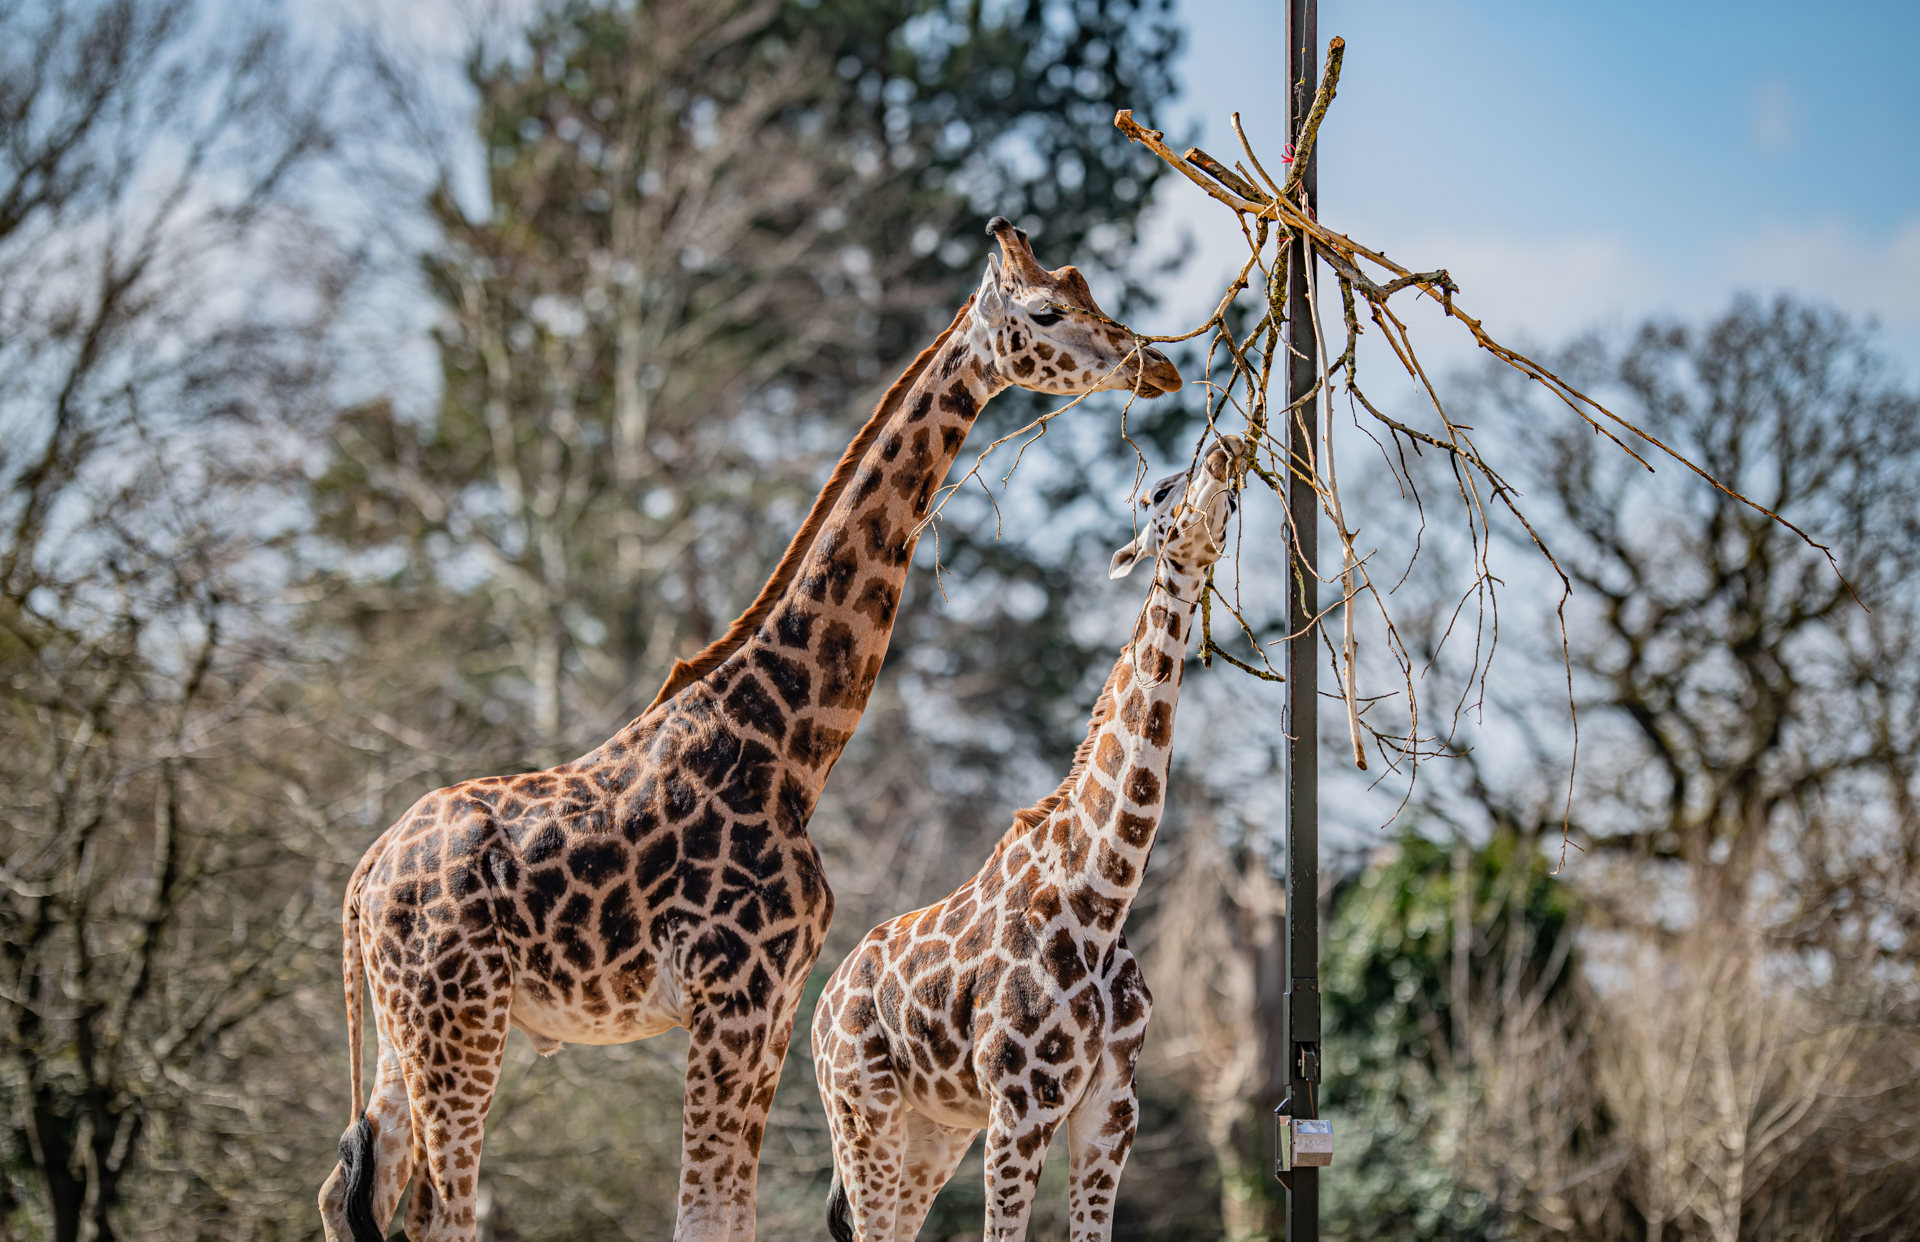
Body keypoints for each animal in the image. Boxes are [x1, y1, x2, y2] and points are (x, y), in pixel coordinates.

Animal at [316, 218, 1182, 1242]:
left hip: (407, 1028)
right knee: (438, 1211)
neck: (790, 743)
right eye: (1047, 312)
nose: (1157, 367)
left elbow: (729, 1213)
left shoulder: (772, 1009)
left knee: (348, 1190)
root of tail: (366, 873)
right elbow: (704, 1214)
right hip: (457, 1019)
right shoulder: (732, 997)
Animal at [810, 435, 1244, 1242]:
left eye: (1229, 500)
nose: (1226, 455)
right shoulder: (1021, 1104)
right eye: (1158, 493)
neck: (1101, 896)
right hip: (861, 1110)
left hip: (934, 1131)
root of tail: (820, 1009)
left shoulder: (1112, 1109)